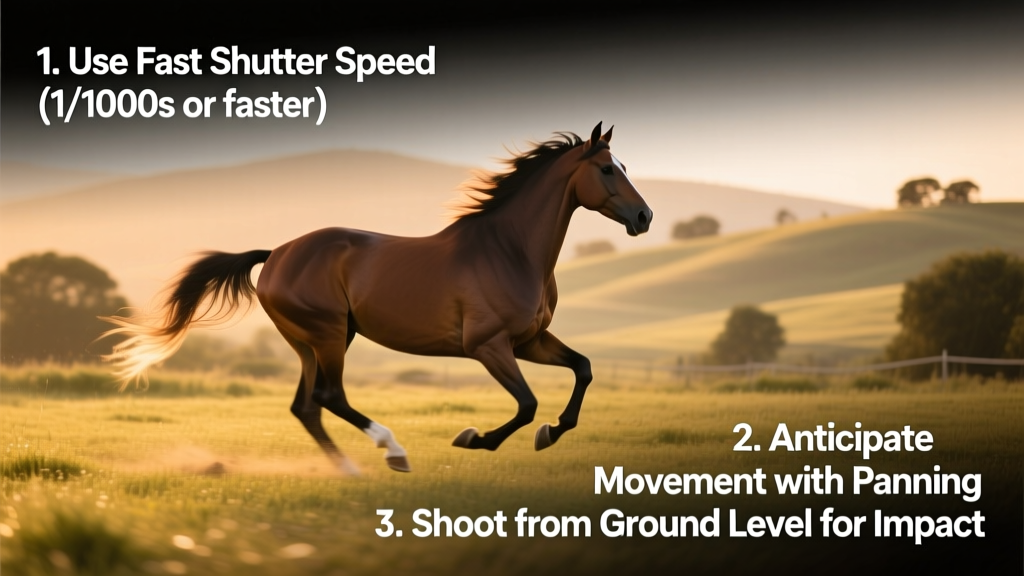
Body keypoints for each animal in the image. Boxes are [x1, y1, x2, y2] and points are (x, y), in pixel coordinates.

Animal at [100, 122, 653, 474]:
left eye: (623, 164)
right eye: (607, 169)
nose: (644, 217)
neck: (508, 250)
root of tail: (276, 253)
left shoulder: (530, 341)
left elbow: (582, 370)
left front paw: (550, 434)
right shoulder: (488, 345)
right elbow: (527, 404)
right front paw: (475, 438)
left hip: (316, 341)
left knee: (306, 406)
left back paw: (349, 470)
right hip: (327, 335)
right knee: (329, 397)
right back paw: (393, 452)